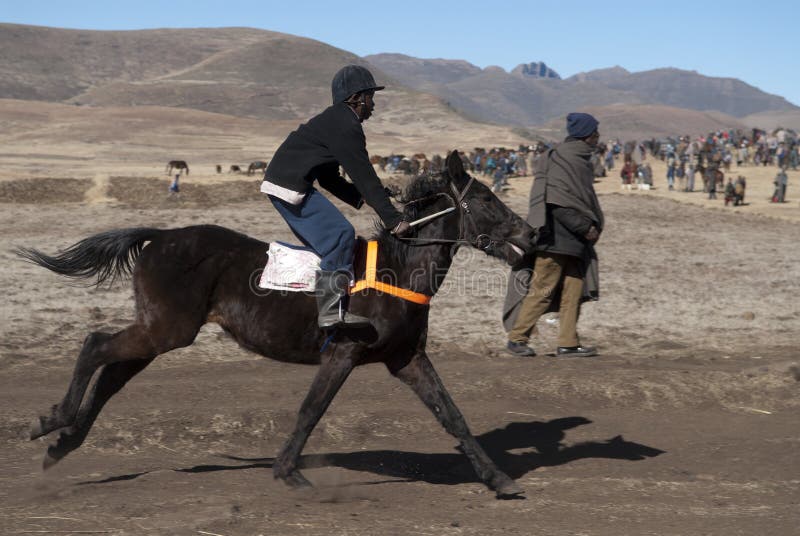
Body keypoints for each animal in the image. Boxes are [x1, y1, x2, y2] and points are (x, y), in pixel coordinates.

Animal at [18, 151, 535, 498]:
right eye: (485, 198)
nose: (531, 233)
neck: (399, 267)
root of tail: (160, 236)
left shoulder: (406, 357)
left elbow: (452, 414)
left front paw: (499, 479)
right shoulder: (343, 352)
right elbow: (311, 409)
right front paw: (289, 471)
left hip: (159, 333)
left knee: (110, 375)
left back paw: (62, 443)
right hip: (166, 330)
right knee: (94, 345)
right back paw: (54, 422)